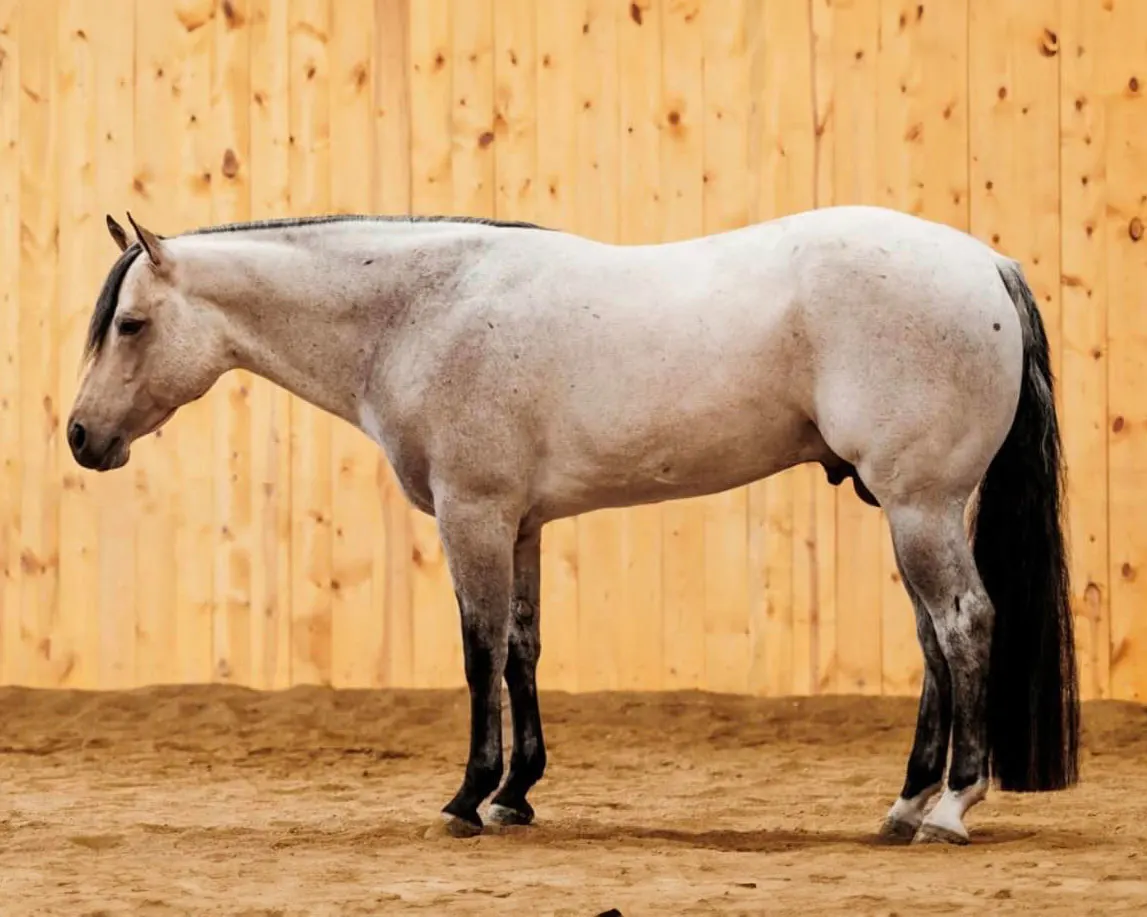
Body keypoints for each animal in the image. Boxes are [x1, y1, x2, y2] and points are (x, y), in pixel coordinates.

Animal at [67, 204, 1080, 845]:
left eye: (130, 323)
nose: (79, 437)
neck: (420, 311)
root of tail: (984, 264)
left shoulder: (473, 514)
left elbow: (477, 651)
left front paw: (467, 795)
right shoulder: (520, 523)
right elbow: (522, 647)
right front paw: (516, 793)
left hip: (919, 505)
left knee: (963, 627)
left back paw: (948, 808)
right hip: (910, 511)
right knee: (932, 643)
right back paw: (904, 803)